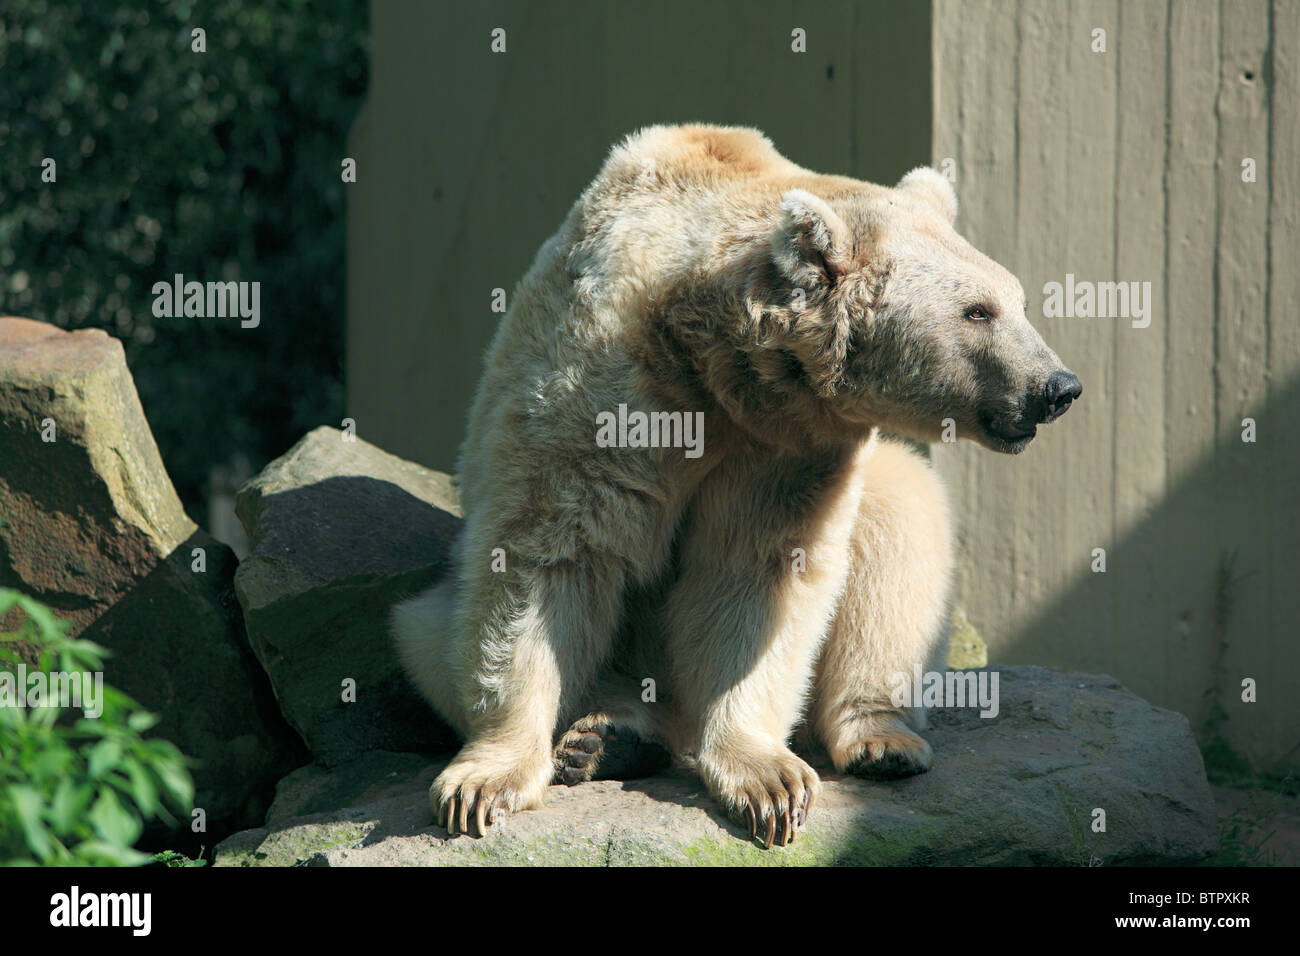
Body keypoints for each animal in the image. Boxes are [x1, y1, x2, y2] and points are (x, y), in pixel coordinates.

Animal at [392, 124, 1081, 848]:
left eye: (1018, 300)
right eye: (979, 311)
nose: (1059, 387)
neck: (710, 359)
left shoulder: (789, 447)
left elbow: (758, 574)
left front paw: (768, 782)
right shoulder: (593, 391)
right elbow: (548, 552)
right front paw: (483, 784)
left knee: (901, 522)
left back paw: (880, 740)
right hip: (440, 622)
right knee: (426, 628)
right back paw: (606, 736)